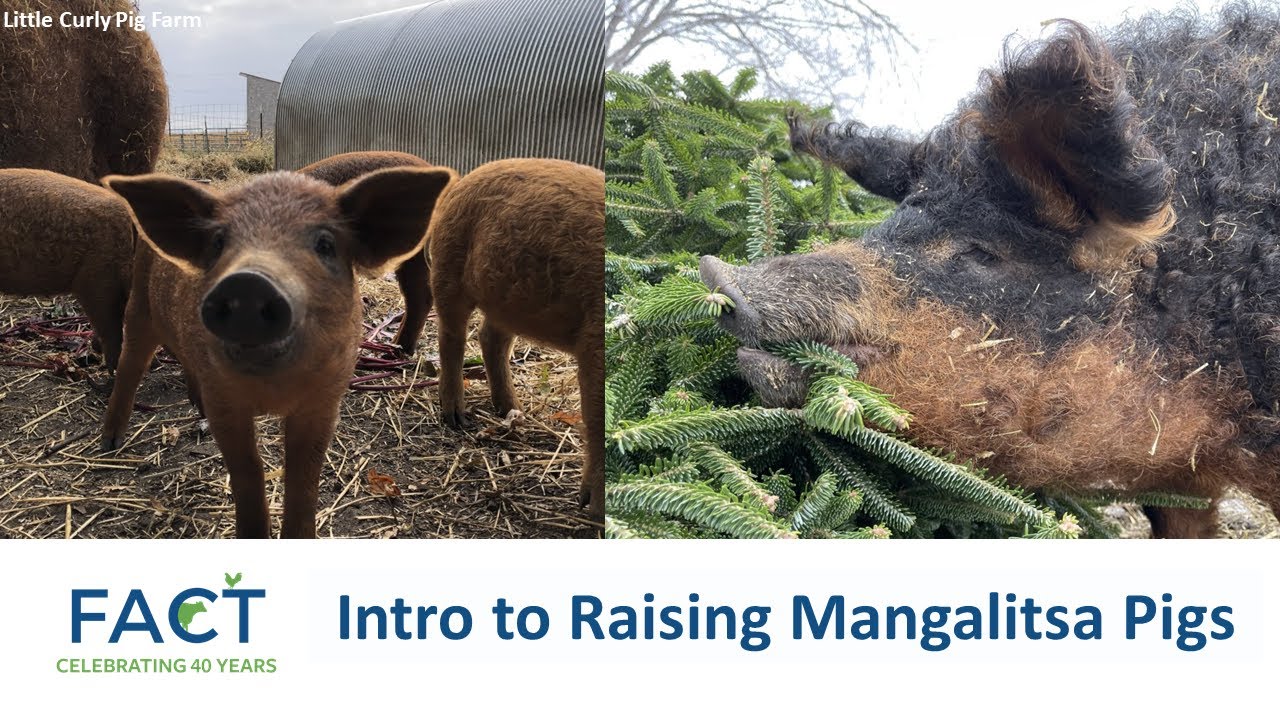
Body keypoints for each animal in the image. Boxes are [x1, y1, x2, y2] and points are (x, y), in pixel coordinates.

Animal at [428, 158, 605, 525]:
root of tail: (461, 182)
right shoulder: (595, 339)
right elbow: (598, 417)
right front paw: (595, 512)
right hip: (448, 266)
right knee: (451, 336)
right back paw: (457, 418)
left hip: (507, 295)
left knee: (490, 338)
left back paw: (514, 410)